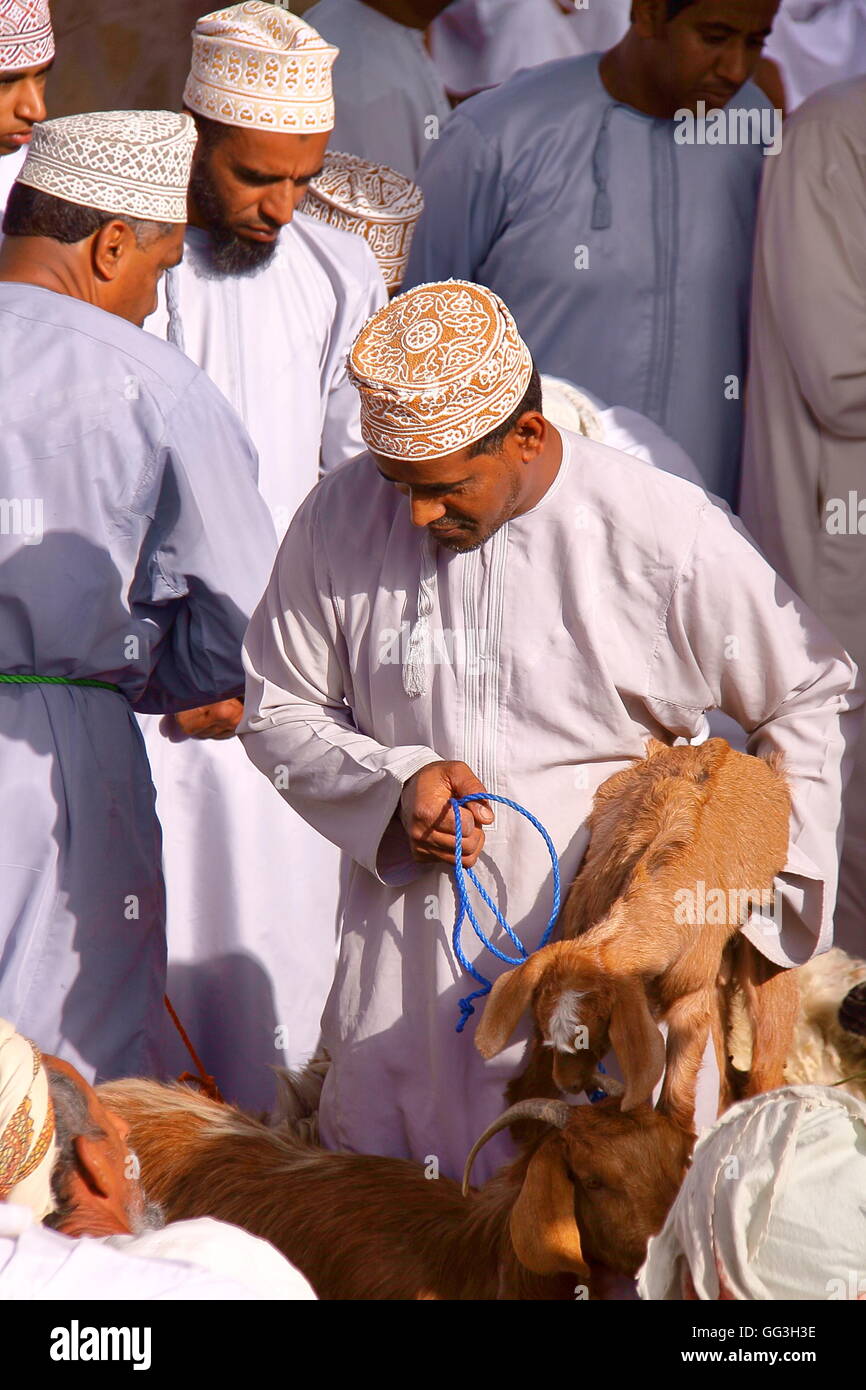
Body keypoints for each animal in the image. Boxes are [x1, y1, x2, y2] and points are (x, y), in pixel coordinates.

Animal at [474, 738, 798, 1133]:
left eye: (596, 1035)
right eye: (543, 1028)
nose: (570, 1085)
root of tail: (722, 746)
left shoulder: (692, 994)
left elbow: (678, 1093)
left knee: (767, 1055)